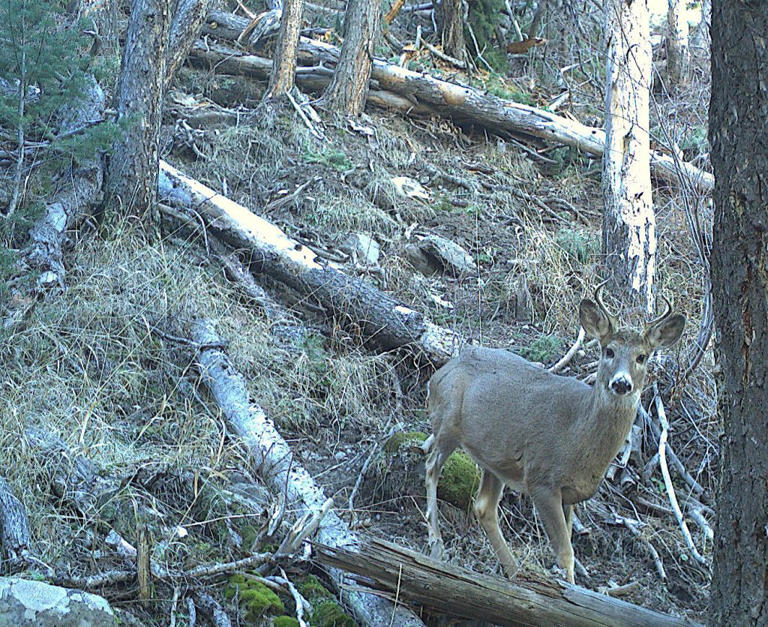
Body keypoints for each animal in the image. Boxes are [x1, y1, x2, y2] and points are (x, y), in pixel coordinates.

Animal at [422, 283, 685, 584]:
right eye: (609, 350)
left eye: (642, 356)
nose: (621, 383)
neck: (578, 435)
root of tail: (440, 373)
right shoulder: (542, 478)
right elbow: (565, 552)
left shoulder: (570, 493)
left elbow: (567, 544)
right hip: (447, 421)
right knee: (431, 466)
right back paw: (437, 546)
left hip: (495, 457)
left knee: (483, 506)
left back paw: (515, 572)